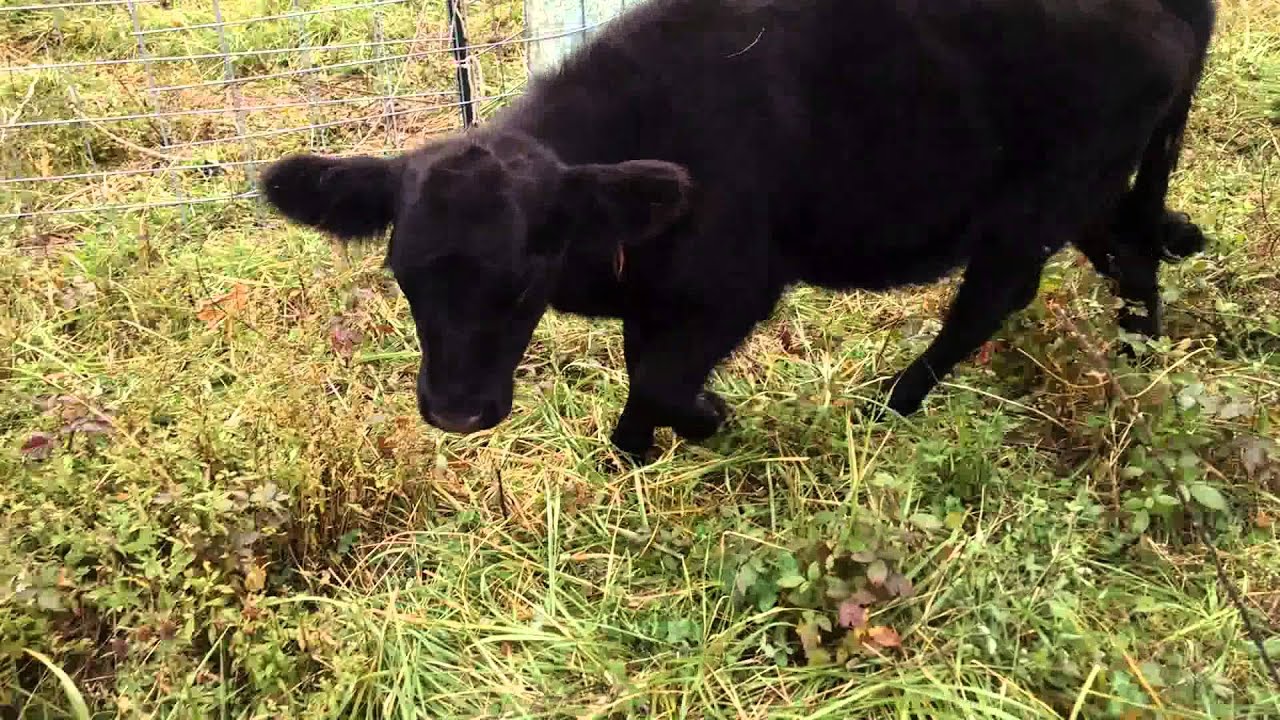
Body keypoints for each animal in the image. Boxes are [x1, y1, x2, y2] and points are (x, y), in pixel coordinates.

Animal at [260, 0, 1216, 461]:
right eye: (404, 273)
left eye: (524, 277)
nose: (456, 414)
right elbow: (646, 382)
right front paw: (640, 451)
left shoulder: (733, 285)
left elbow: (660, 383)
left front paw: (699, 424)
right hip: (1089, 189)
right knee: (1132, 247)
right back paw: (1138, 350)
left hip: (1040, 202)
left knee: (993, 299)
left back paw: (893, 402)